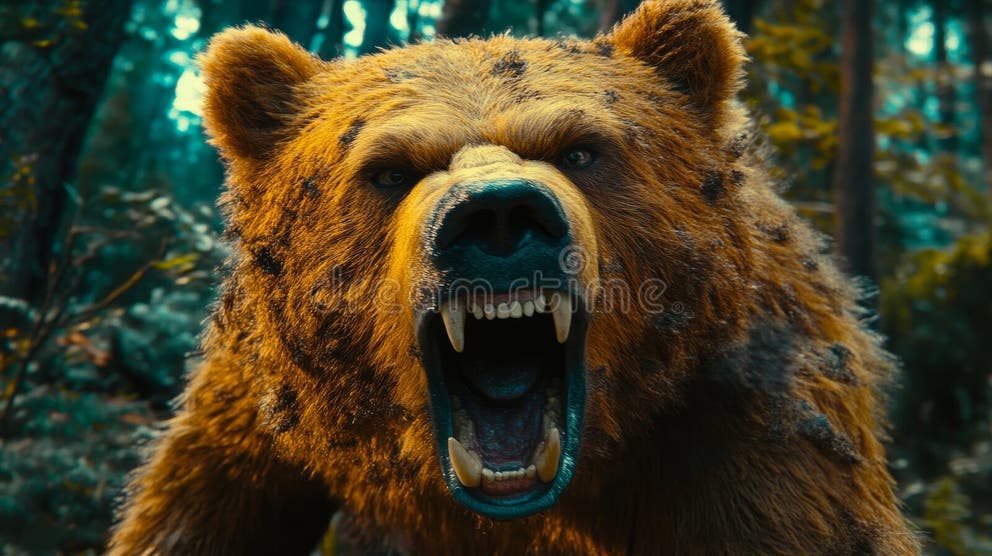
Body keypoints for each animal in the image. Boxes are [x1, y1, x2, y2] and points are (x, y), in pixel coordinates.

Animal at [109, 0, 921, 554]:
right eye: (389, 169)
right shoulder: (266, 405)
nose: (497, 217)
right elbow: (188, 515)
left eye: (581, 149)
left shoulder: (752, 415)